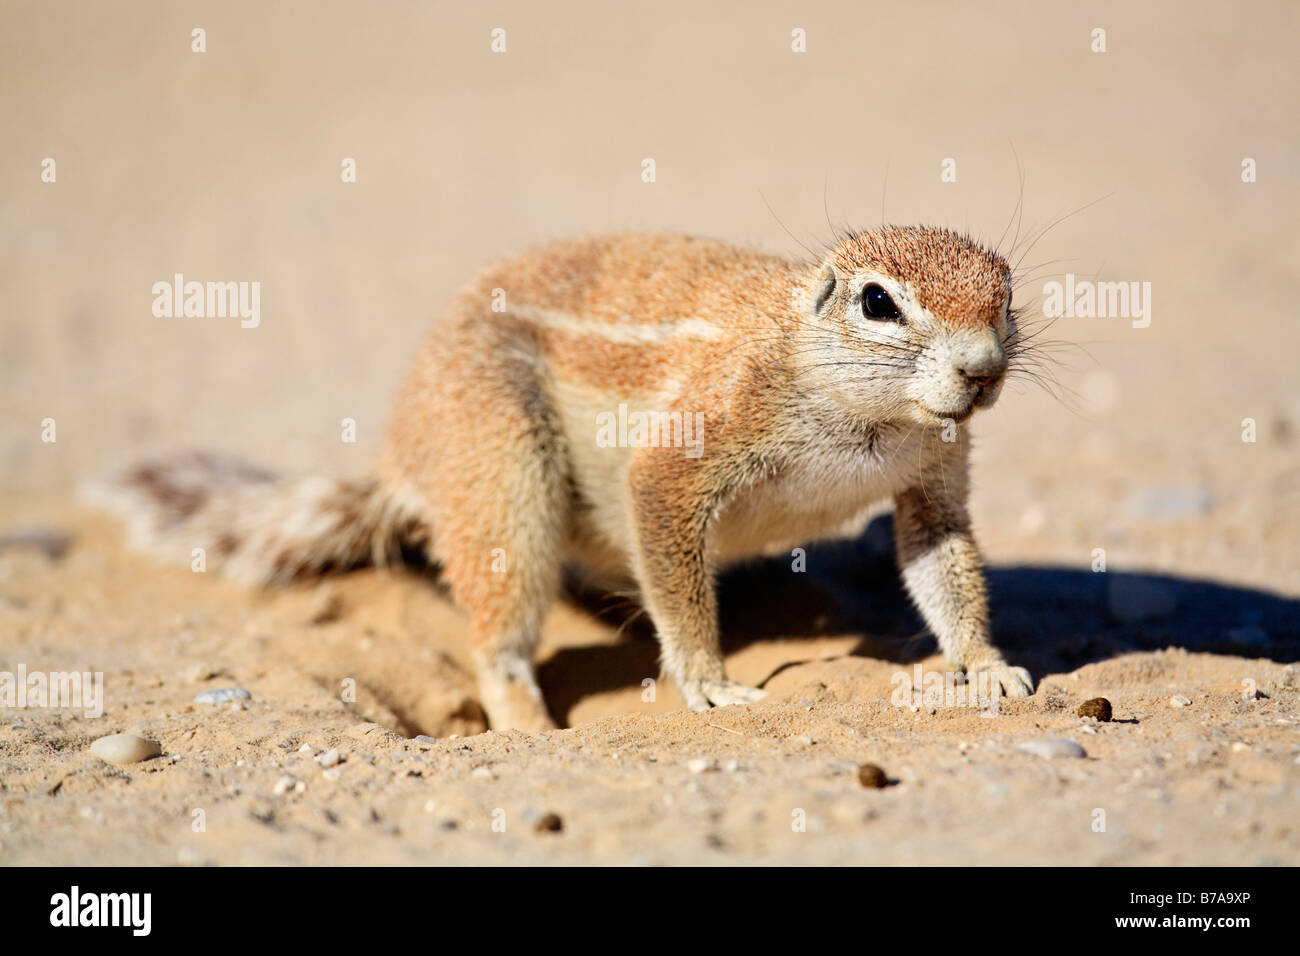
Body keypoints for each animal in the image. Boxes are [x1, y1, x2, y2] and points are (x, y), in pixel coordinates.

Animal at [95, 228, 1036, 731]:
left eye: (1007, 297)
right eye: (879, 303)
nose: (984, 372)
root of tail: (403, 455)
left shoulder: (935, 475)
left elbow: (940, 555)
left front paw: (985, 664)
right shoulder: (694, 438)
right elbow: (665, 526)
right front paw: (707, 679)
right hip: (499, 468)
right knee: (496, 636)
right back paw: (526, 724)